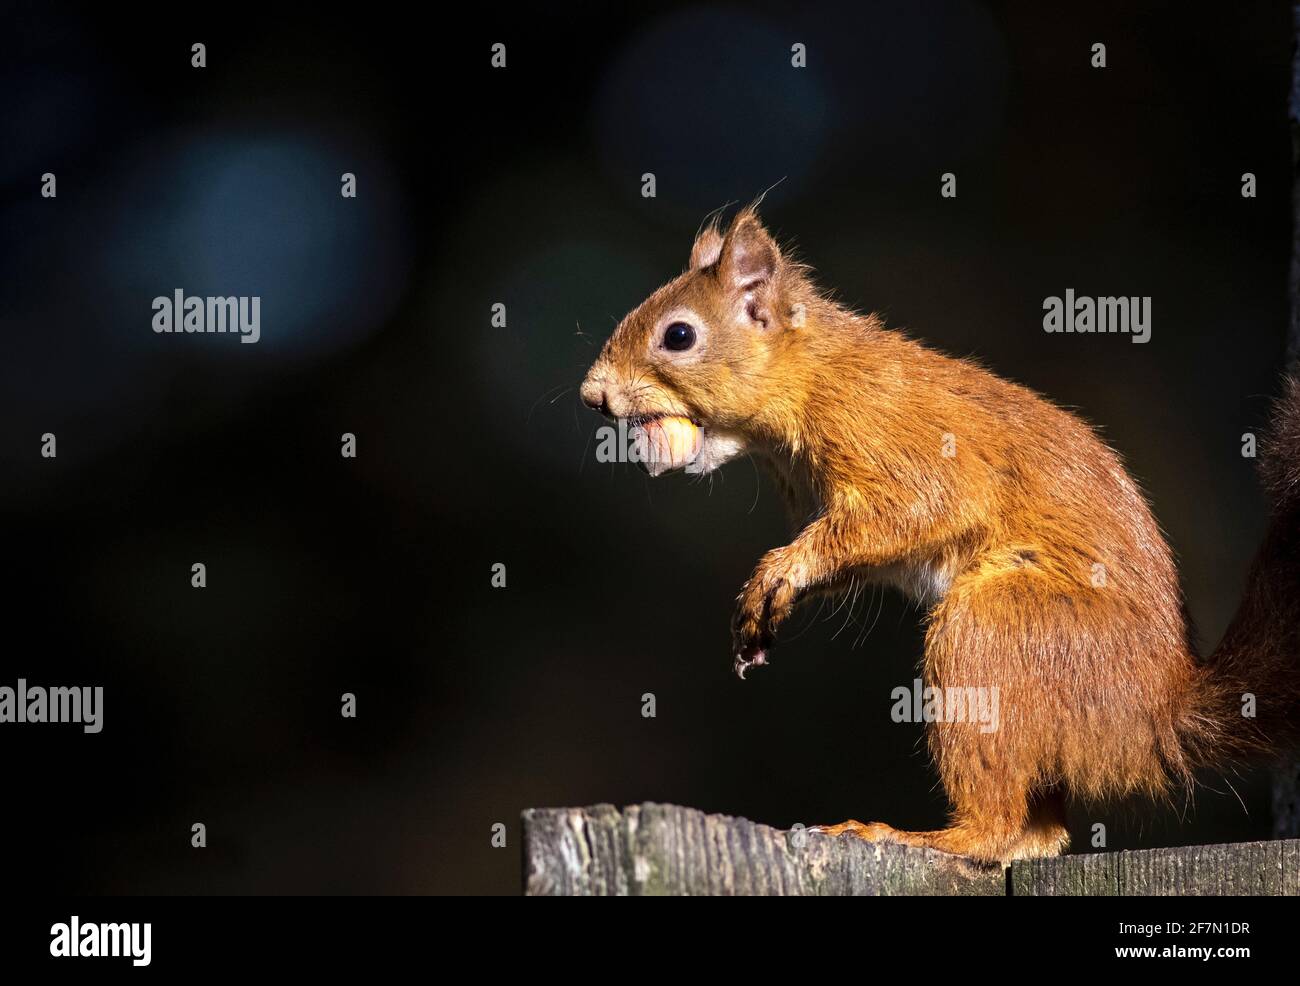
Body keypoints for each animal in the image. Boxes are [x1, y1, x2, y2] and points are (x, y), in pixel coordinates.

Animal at [579, 205, 1300, 864]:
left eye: (678, 335)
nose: (593, 395)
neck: (814, 375)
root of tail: (1155, 716)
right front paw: (768, 599)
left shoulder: (895, 440)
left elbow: (917, 509)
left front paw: (779, 572)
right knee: (1038, 834)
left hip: (996, 632)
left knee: (997, 825)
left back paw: (910, 835)